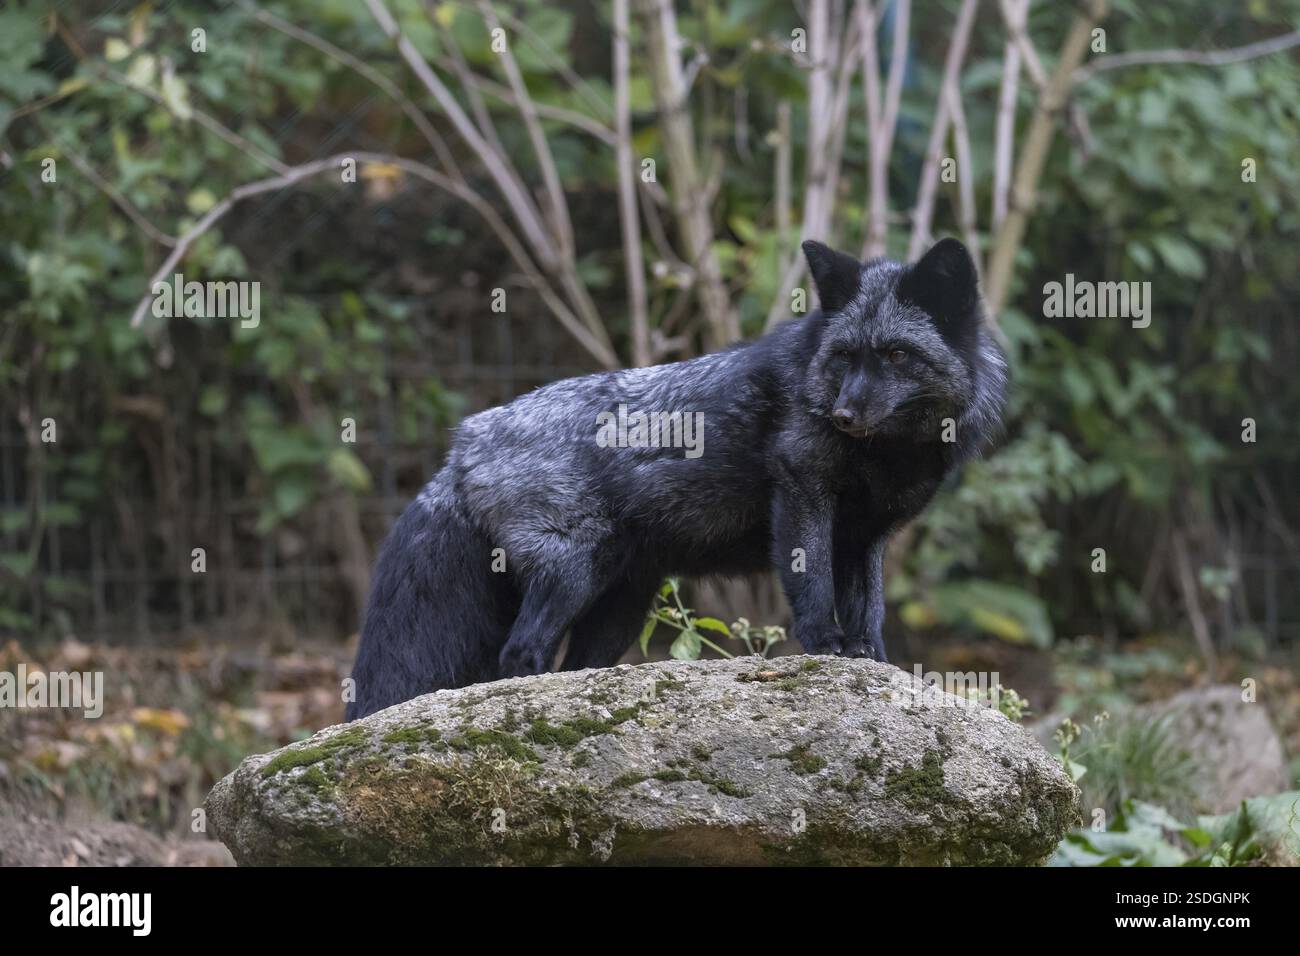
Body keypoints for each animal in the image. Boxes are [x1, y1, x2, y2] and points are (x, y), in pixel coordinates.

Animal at [344, 237, 1007, 719]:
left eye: (896, 355)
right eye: (845, 357)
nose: (841, 414)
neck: (890, 456)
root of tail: (463, 442)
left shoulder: (867, 534)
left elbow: (868, 607)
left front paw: (874, 662)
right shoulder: (803, 492)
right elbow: (812, 585)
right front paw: (826, 646)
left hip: (619, 605)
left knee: (568, 665)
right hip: (570, 572)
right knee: (520, 651)